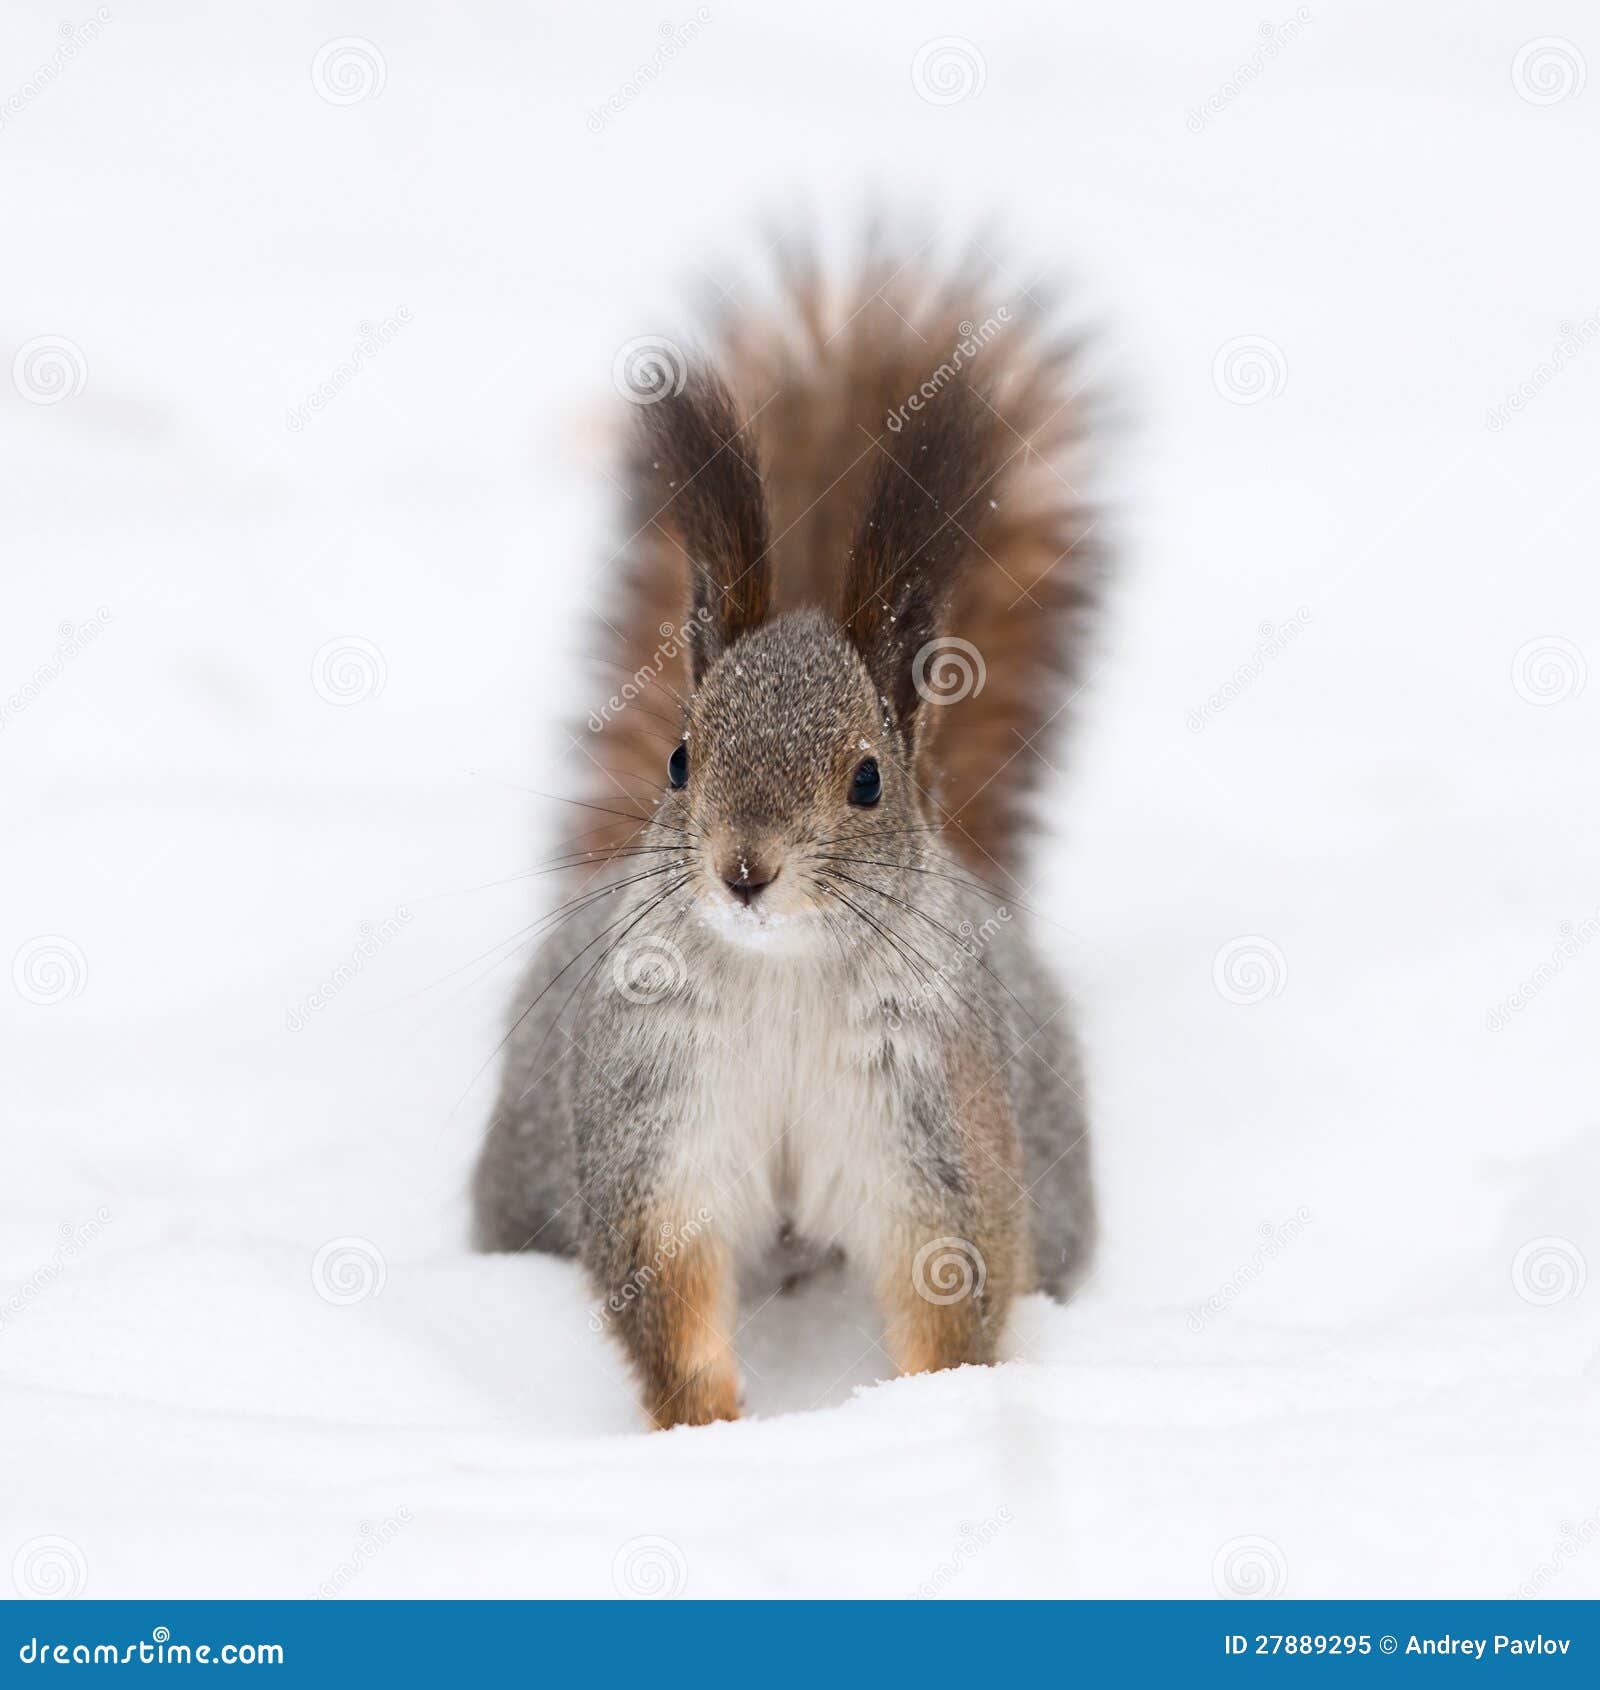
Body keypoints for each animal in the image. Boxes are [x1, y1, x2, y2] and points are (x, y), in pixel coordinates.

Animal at [472, 238, 1102, 1429]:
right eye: (679, 759)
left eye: (866, 780)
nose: (745, 871)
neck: (784, 975)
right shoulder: (656, 1107)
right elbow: (667, 1287)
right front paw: (711, 1433)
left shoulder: (934, 1118)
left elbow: (951, 1281)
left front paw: (924, 1414)